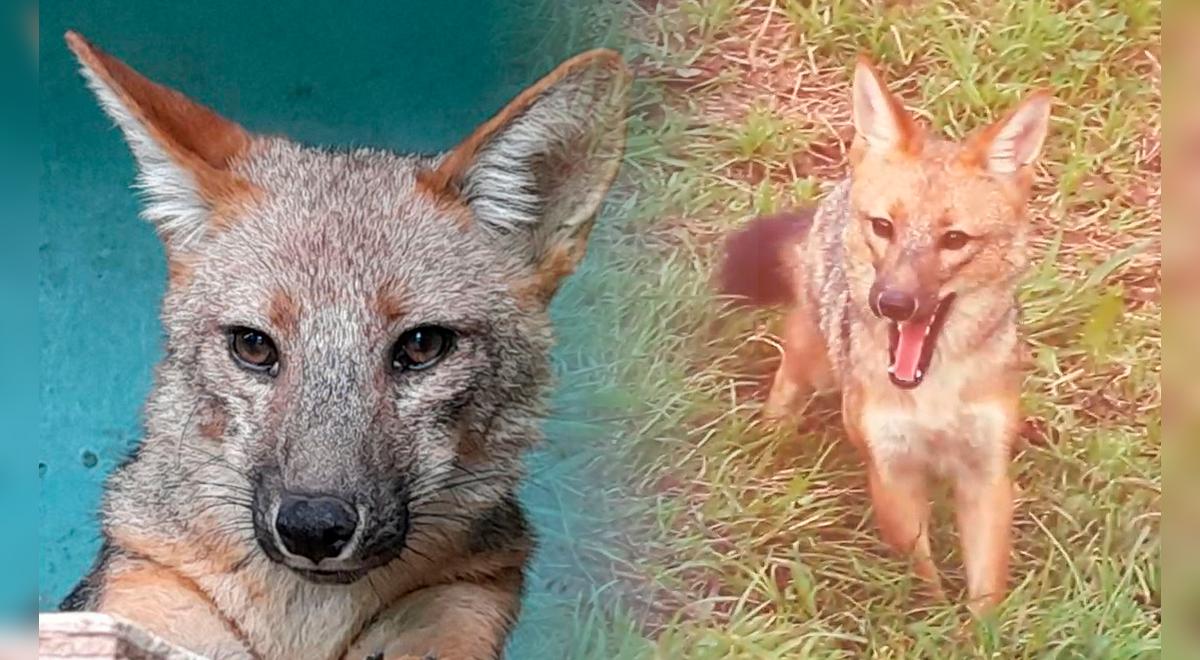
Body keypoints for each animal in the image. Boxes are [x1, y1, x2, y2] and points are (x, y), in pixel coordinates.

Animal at [57, 31, 628, 659]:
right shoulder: (145, 595)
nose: (313, 526)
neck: (305, 634)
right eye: (253, 346)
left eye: (422, 345)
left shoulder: (462, 603)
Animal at [719, 57, 1051, 614]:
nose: (892, 303)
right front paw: (932, 620)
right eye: (883, 227)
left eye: (954, 240)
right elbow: (924, 579)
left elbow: (986, 596)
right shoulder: (892, 472)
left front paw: (976, 629)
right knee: (786, 387)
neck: (933, 390)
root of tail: (836, 192)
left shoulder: (985, 475)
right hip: (814, 364)